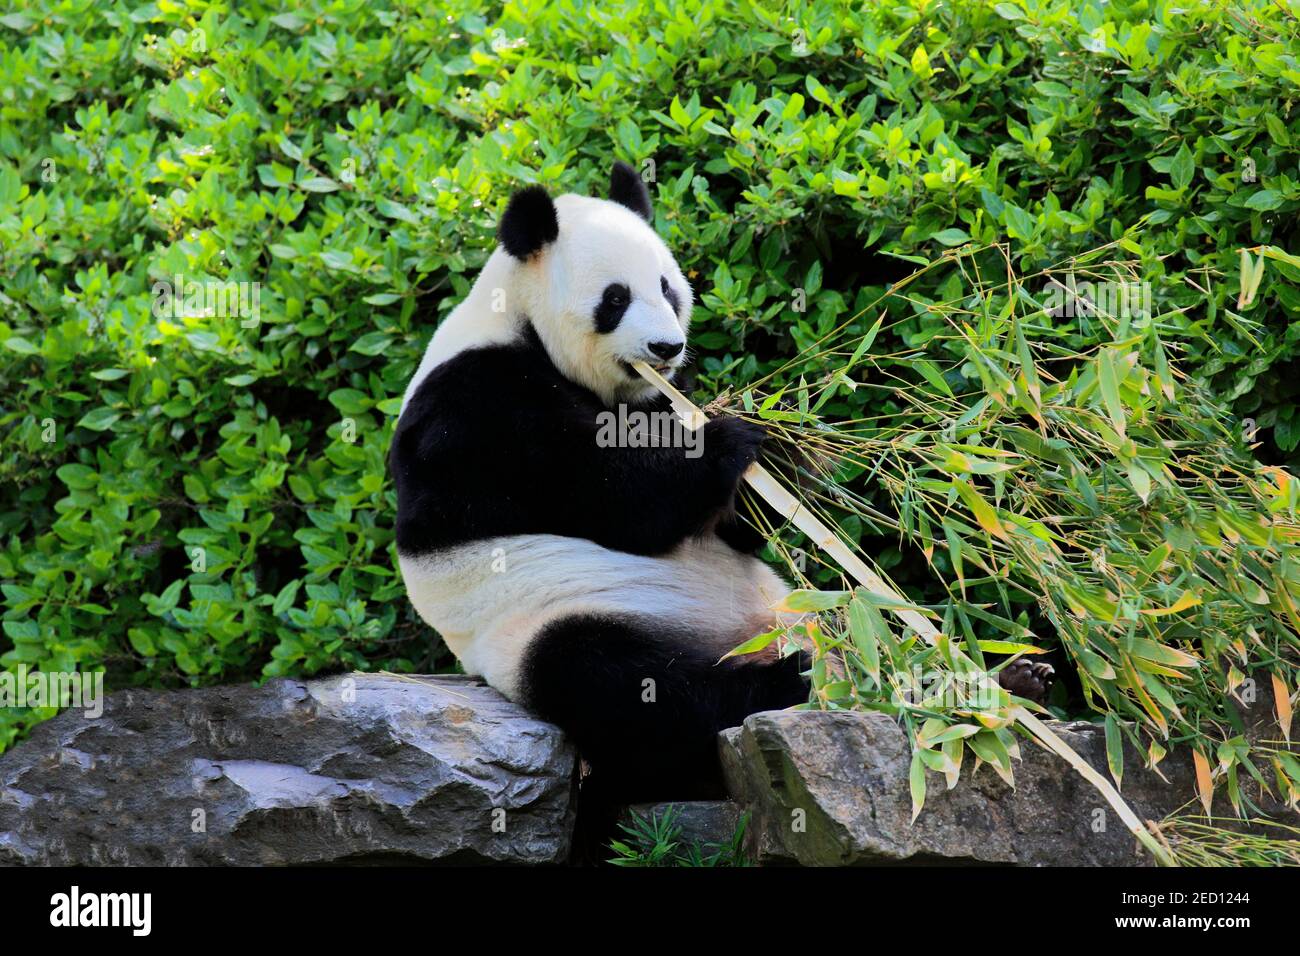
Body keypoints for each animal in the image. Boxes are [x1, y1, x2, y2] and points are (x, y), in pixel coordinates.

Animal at [390, 162, 808, 802]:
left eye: (667, 287)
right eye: (615, 298)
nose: (667, 347)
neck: (518, 322)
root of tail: (744, 637)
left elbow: (725, 525)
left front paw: (783, 453)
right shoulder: (476, 411)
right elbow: (612, 496)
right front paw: (727, 438)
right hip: (549, 619)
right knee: (620, 683)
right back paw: (784, 683)